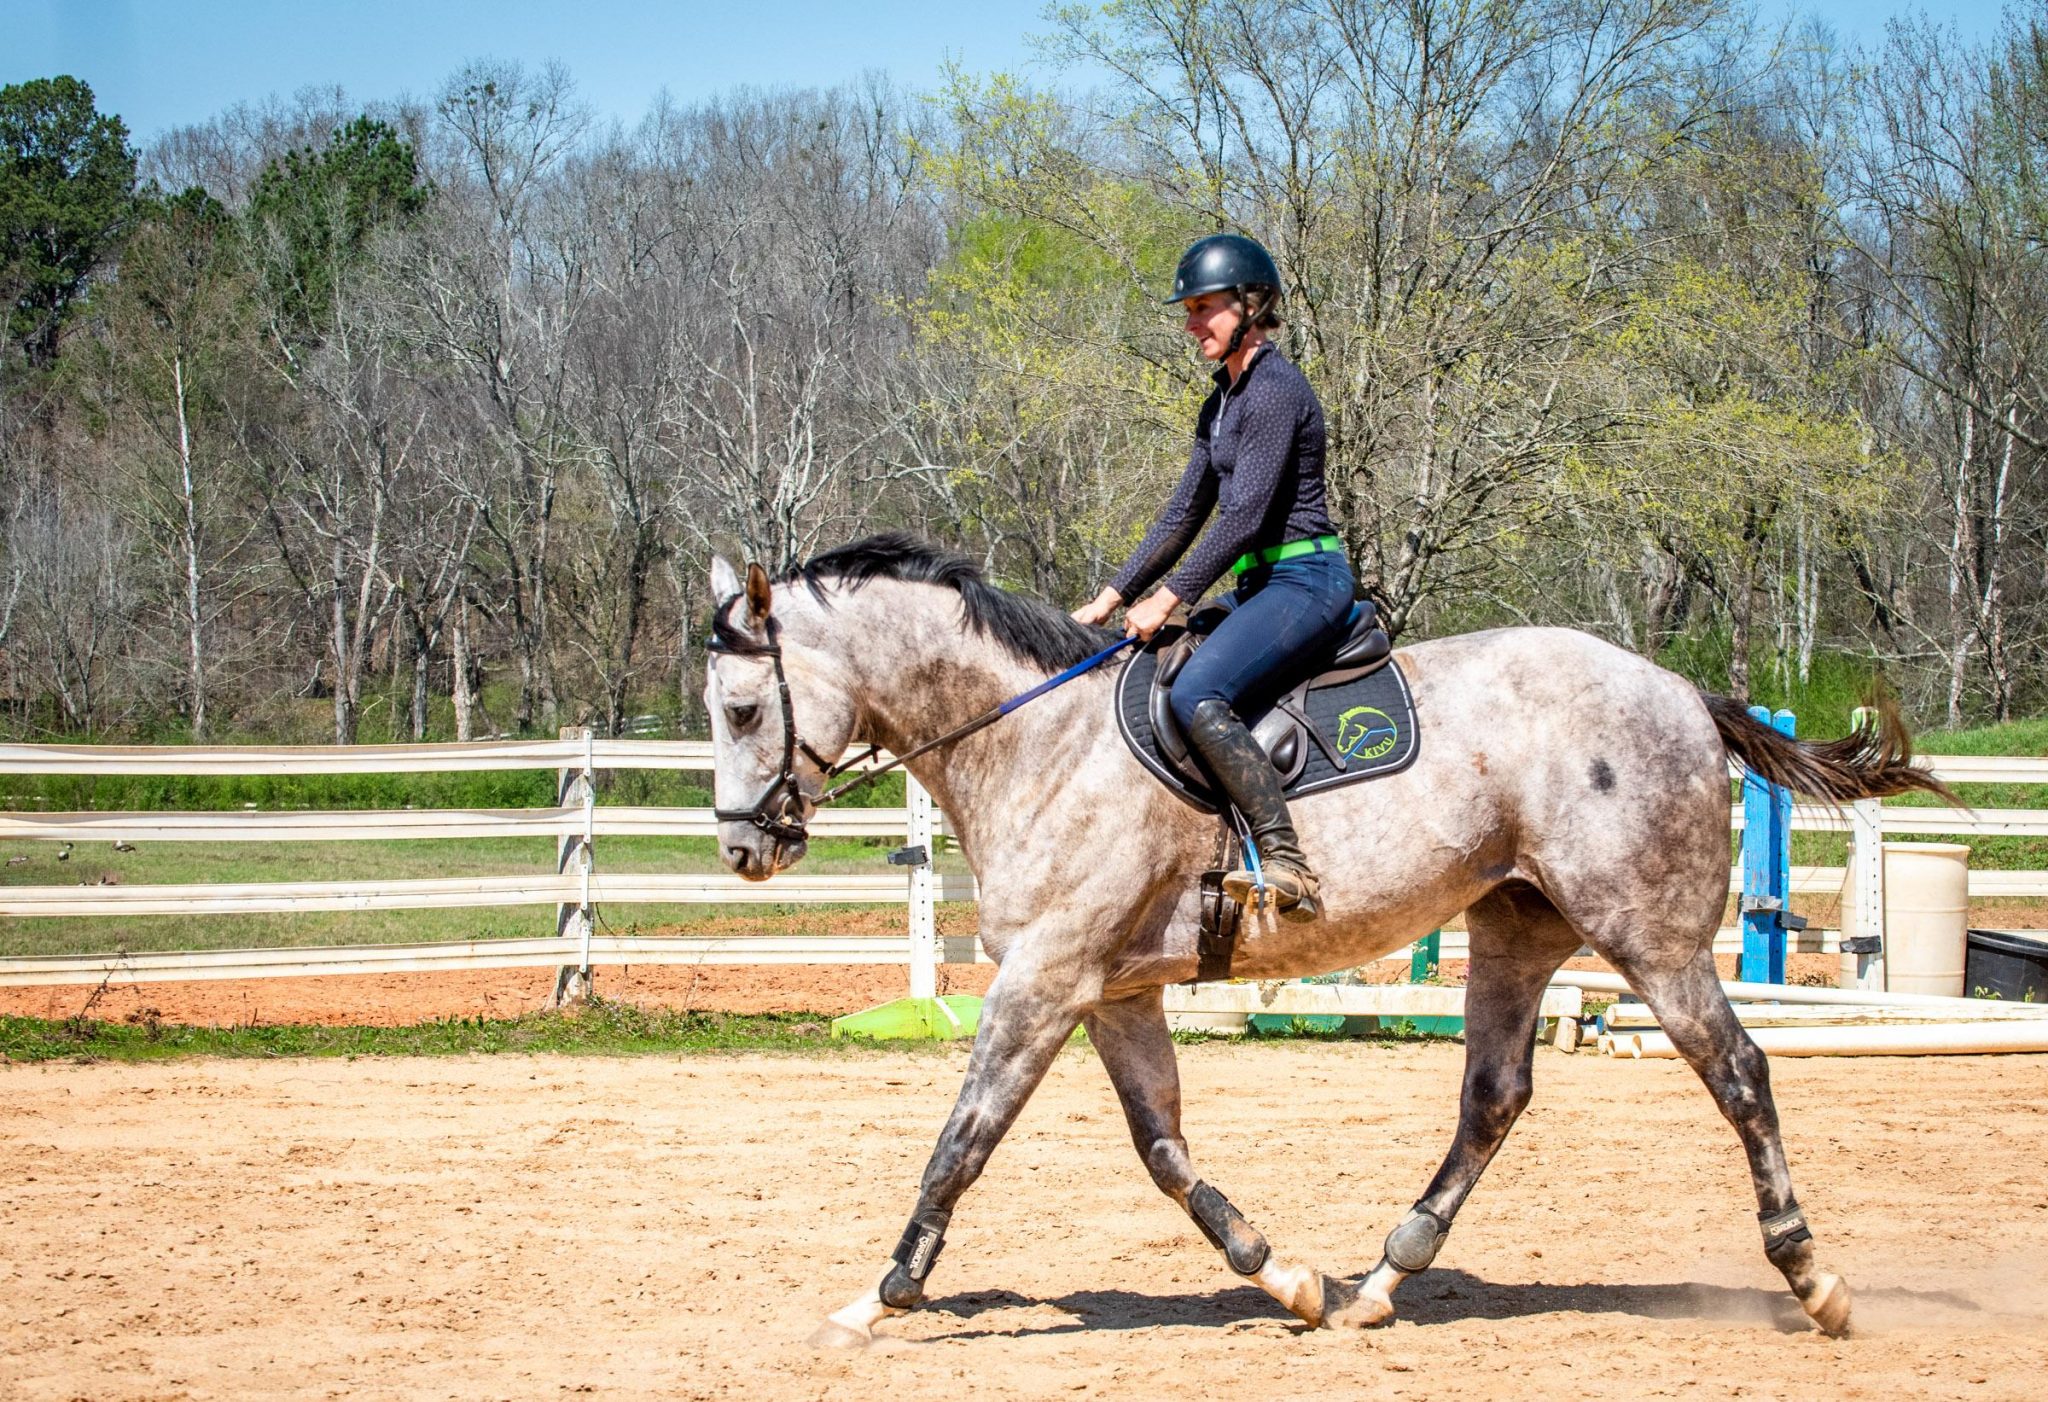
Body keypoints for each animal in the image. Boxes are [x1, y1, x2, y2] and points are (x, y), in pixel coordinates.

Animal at [700, 534, 1946, 1348]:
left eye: (742, 710)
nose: (746, 848)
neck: (1035, 740)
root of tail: (1681, 691)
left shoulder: (1044, 981)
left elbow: (962, 1139)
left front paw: (880, 1295)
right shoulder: (1110, 991)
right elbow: (1162, 1149)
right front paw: (1284, 1277)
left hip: (1648, 937)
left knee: (1737, 1072)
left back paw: (1811, 1276)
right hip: (1516, 925)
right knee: (1493, 1097)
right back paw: (1379, 1280)